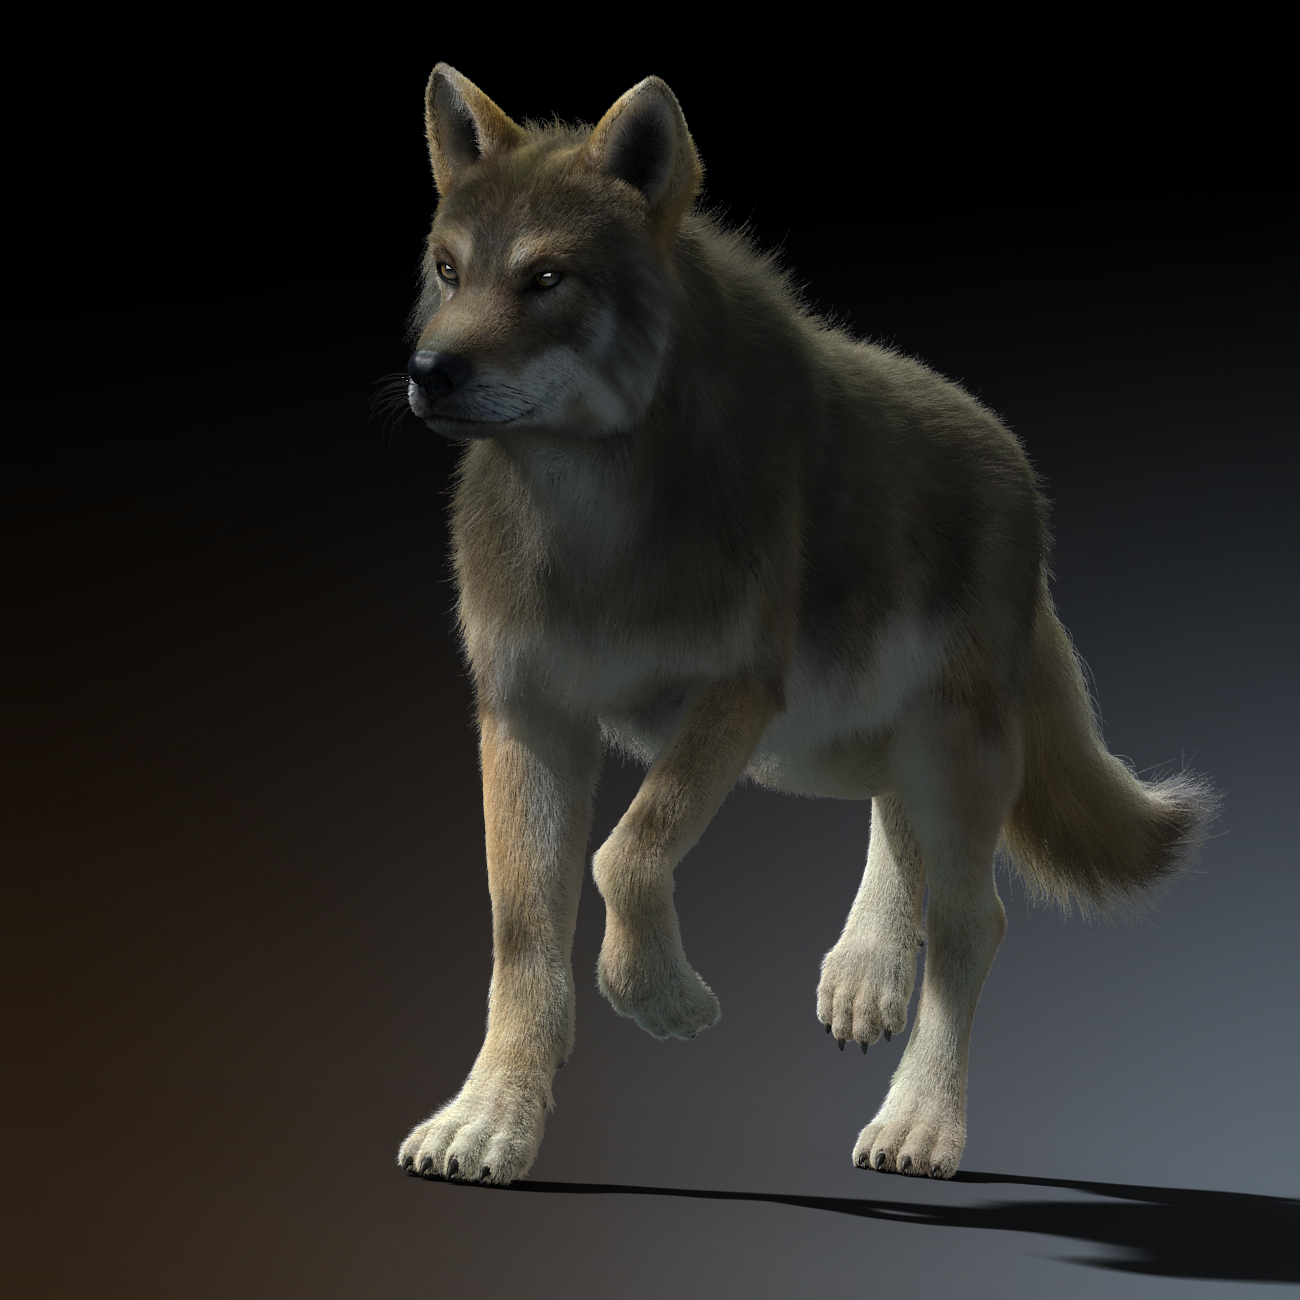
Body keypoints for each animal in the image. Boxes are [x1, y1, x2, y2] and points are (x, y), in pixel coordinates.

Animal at [395, 64, 1218, 1186]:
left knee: (975, 921)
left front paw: (666, 1000)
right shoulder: (526, 712)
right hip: (829, 746)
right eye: (447, 269)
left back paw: (918, 1121)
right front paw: (490, 1119)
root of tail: (1017, 468)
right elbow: (523, 932)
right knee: (898, 821)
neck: (593, 512)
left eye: (545, 278)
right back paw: (865, 974)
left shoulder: (735, 688)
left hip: (938, 744)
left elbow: (625, 854)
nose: (428, 371)